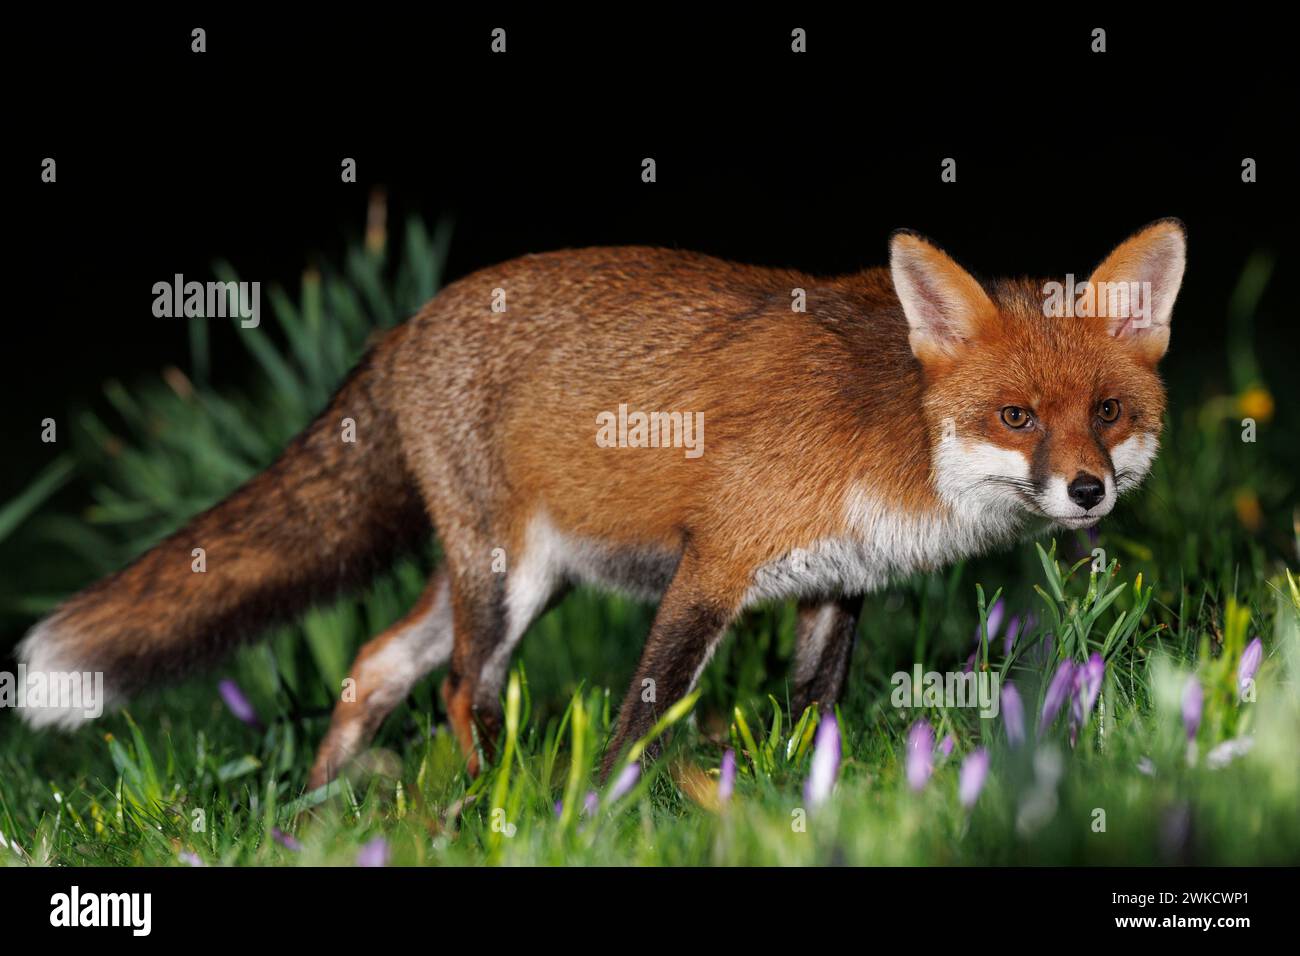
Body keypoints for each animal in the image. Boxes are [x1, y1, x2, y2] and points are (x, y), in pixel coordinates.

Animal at [14, 219, 1186, 786]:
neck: (893, 430)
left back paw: (314, 812)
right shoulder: (716, 560)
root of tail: (402, 327)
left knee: (375, 663)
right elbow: (643, 710)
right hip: (505, 578)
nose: (1086, 489)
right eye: (1017, 416)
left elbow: (814, 714)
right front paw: (608, 810)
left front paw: (815, 797)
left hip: (514, 578)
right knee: (460, 688)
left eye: (1108, 413)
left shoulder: (837, 584)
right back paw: (491, 801)